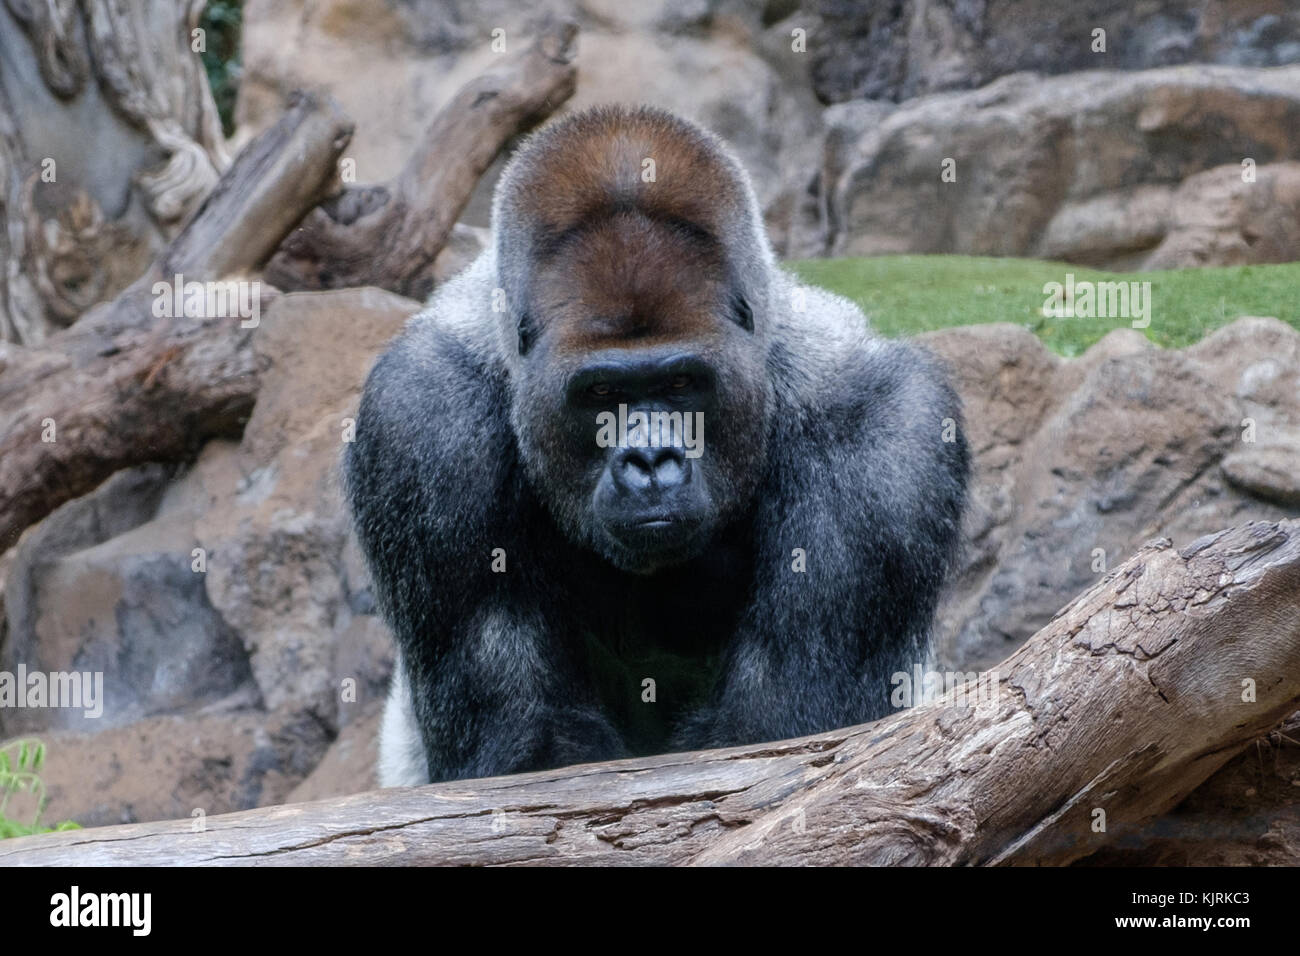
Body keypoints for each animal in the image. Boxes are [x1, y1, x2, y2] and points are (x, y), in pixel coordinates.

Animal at [345, 105, 970, 787]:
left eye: (681, 383)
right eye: (600, 393)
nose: (648, 461)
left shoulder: (882, 440)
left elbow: (782, 738)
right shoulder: (420, 422)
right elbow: (530, 751)